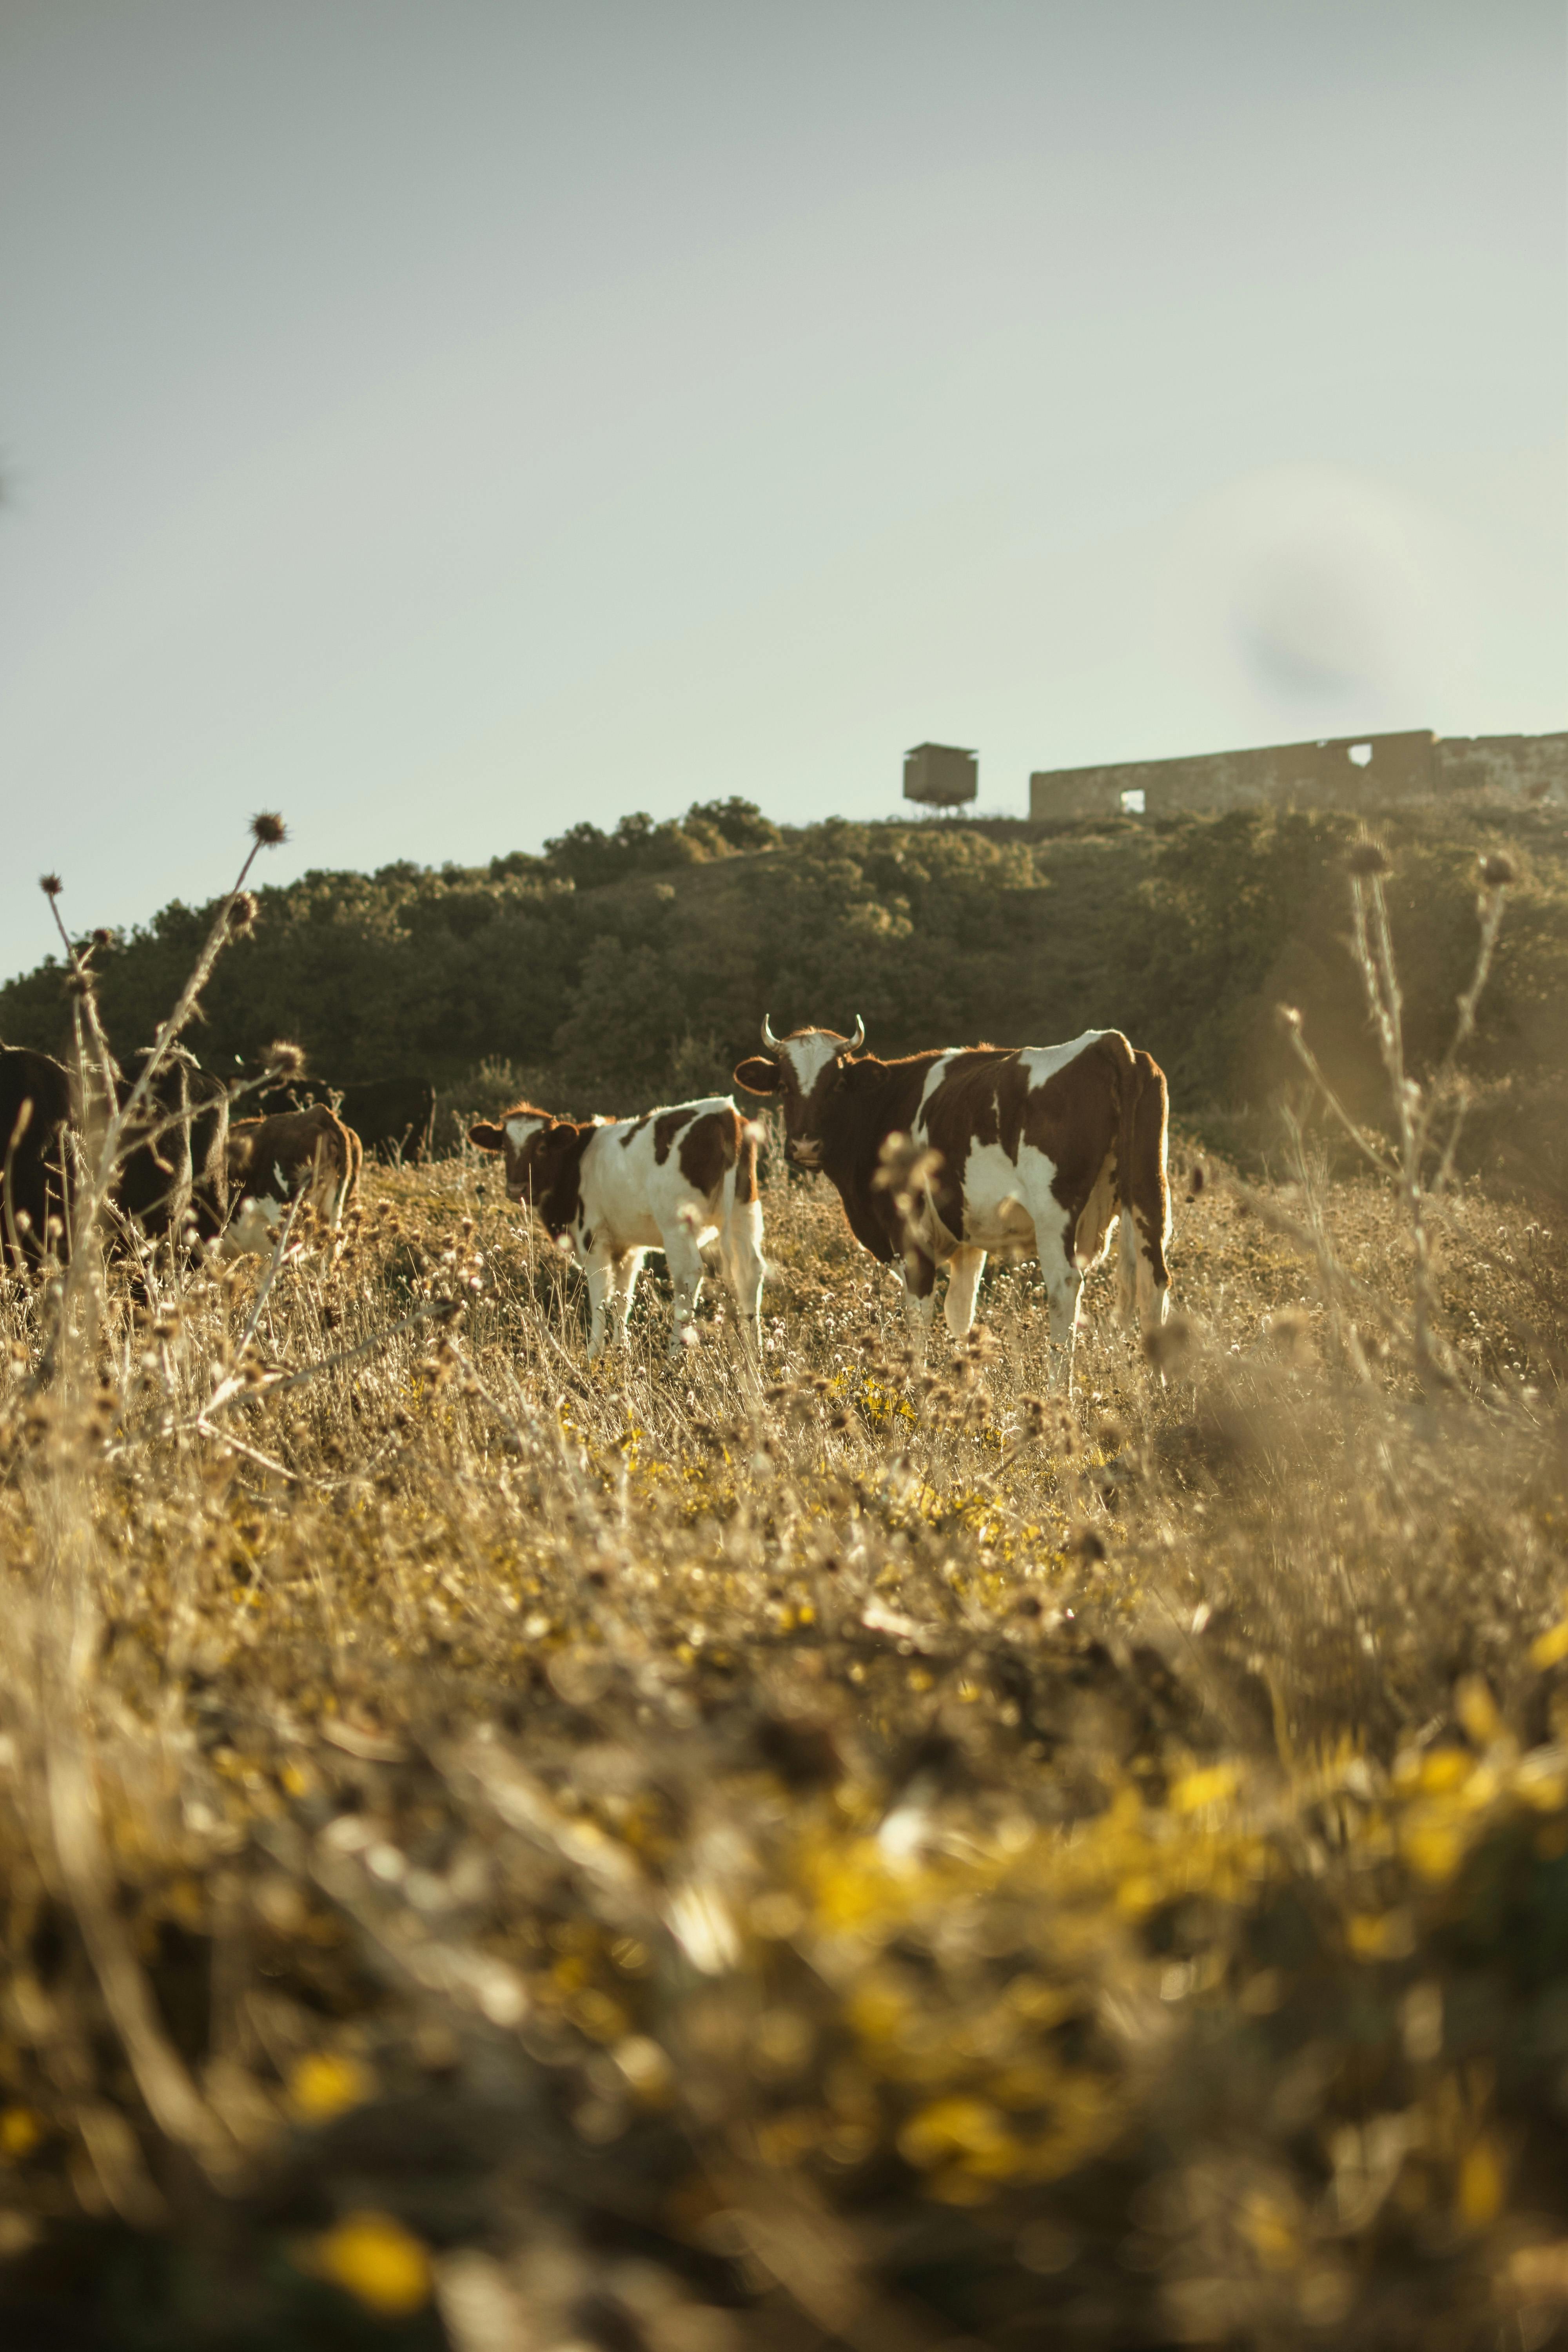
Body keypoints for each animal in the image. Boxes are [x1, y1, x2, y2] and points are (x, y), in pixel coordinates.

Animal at [468, 1096, 764, 1360]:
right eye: (505, 1147)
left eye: (541, 1147)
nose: (517, 1188)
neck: (575, 1164)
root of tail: (724, 1111)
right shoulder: (628, 1247)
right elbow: (624, 1297)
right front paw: (623, 1350)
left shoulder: (593, 1240)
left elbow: (600, 1296)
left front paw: (593, 1355)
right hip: (744, 1209)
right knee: (751, 1270)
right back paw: (755, 1355)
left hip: (676, 1222)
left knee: (688, 1277)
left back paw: (675, 1356)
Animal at [733, 1018, 1171, 1385]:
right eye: (785, 1086)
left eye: (837, 1085)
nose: (805, 1145)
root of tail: (1106, 1041)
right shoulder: (967, 1238)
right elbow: (961, 1313)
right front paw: (965, 1388)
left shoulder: (909, 1231)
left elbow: (919, 1311)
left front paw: (917, 1389)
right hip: (1150, 1193)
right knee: (1155, 1282)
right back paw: (1157, 1392)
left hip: (1054, 1211)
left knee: (1064, 1287)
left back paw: (1057, 1395)